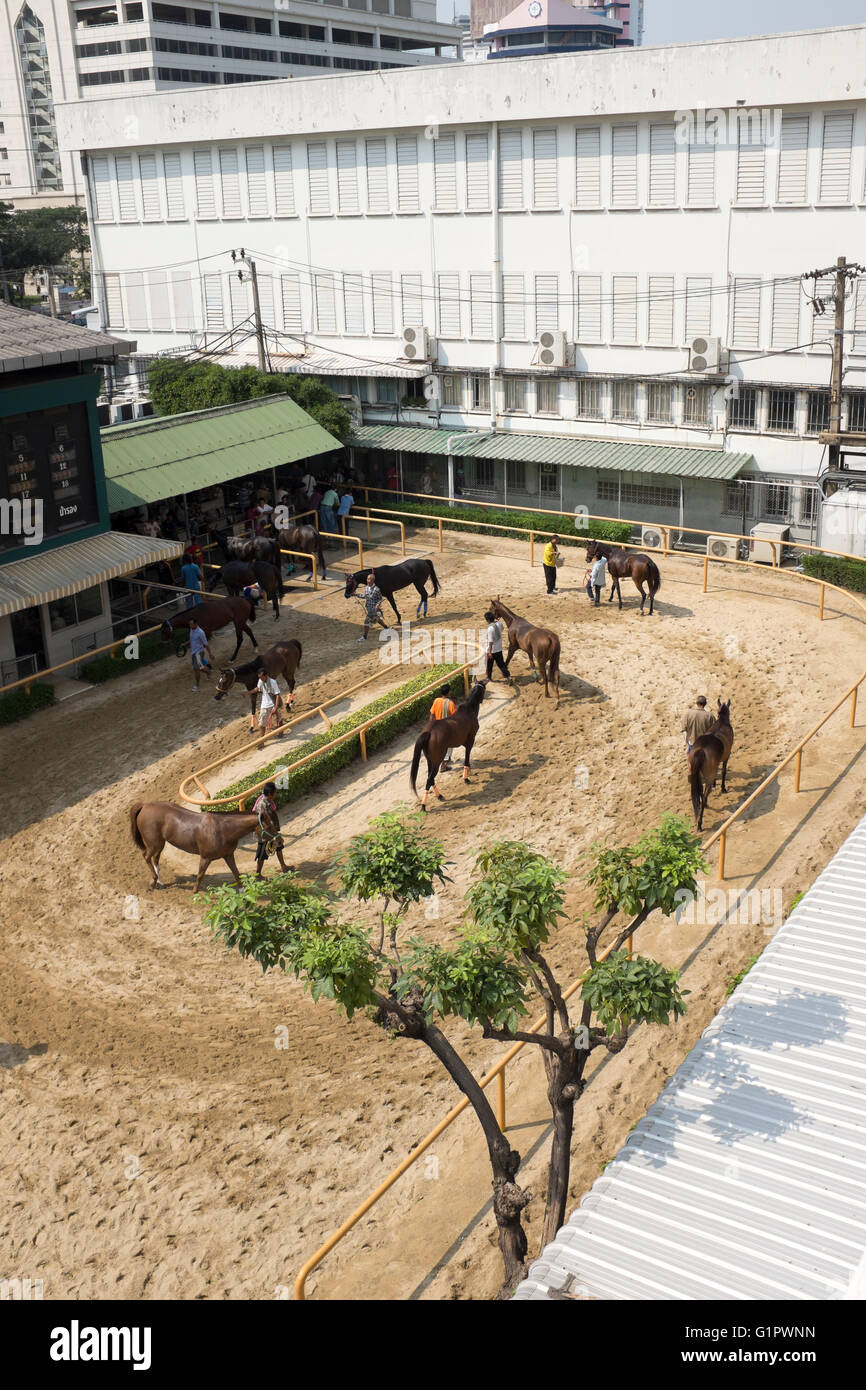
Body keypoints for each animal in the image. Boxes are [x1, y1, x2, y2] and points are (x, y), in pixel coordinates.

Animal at [129, 800, 280, 892]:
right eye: (269, 826)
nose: (280, 842)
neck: (221, 829)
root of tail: (145, 805)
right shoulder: (205, 858)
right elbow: (200, 875)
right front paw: (195, 893)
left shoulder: (228, 855)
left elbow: (236, 872)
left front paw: (242, 890)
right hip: (154, 844)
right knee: (146, 856)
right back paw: (153, 882)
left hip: (159, 844)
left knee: (155, 859)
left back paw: (159, 882)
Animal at [410, 680, 486, 810]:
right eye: (484, 688)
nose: (482, 700)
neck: (468, 711)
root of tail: (429, 732)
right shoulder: (470, 741)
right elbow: (466, 759)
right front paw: (466, 778)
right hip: (436, 760)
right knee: (429, 779)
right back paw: (424, 806)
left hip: (430, 760)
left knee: (431, 778)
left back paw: (439, 795)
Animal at [688, 700, 734, 831]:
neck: (722, 722)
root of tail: (701, 750)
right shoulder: (727, 756)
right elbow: (723, 771)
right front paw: (723, 788)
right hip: (708, 775)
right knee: (703, 796)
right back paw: (700, 823)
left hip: (697, 775)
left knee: (699, 793)